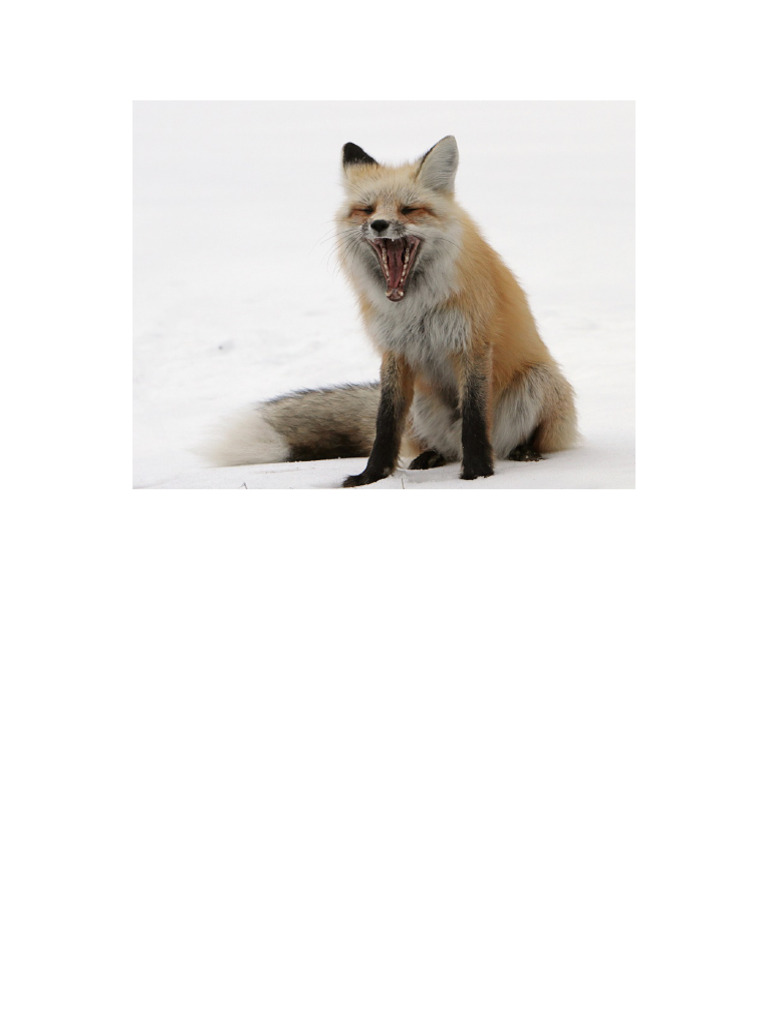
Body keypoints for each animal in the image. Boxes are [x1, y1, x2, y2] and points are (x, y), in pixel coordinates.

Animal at [209, 136, 578, 485]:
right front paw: (371, 477)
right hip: (422, 405)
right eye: (366, 210)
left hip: (538, 380)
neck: (415, 308)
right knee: (437, 445)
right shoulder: (395, 351)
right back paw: (431, 456)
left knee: (512, 440)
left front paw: (477, 474)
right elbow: (385, 423)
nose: (379, 225)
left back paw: (522, 451)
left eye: (409, 209)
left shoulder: (472, 344)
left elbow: (474, 419)